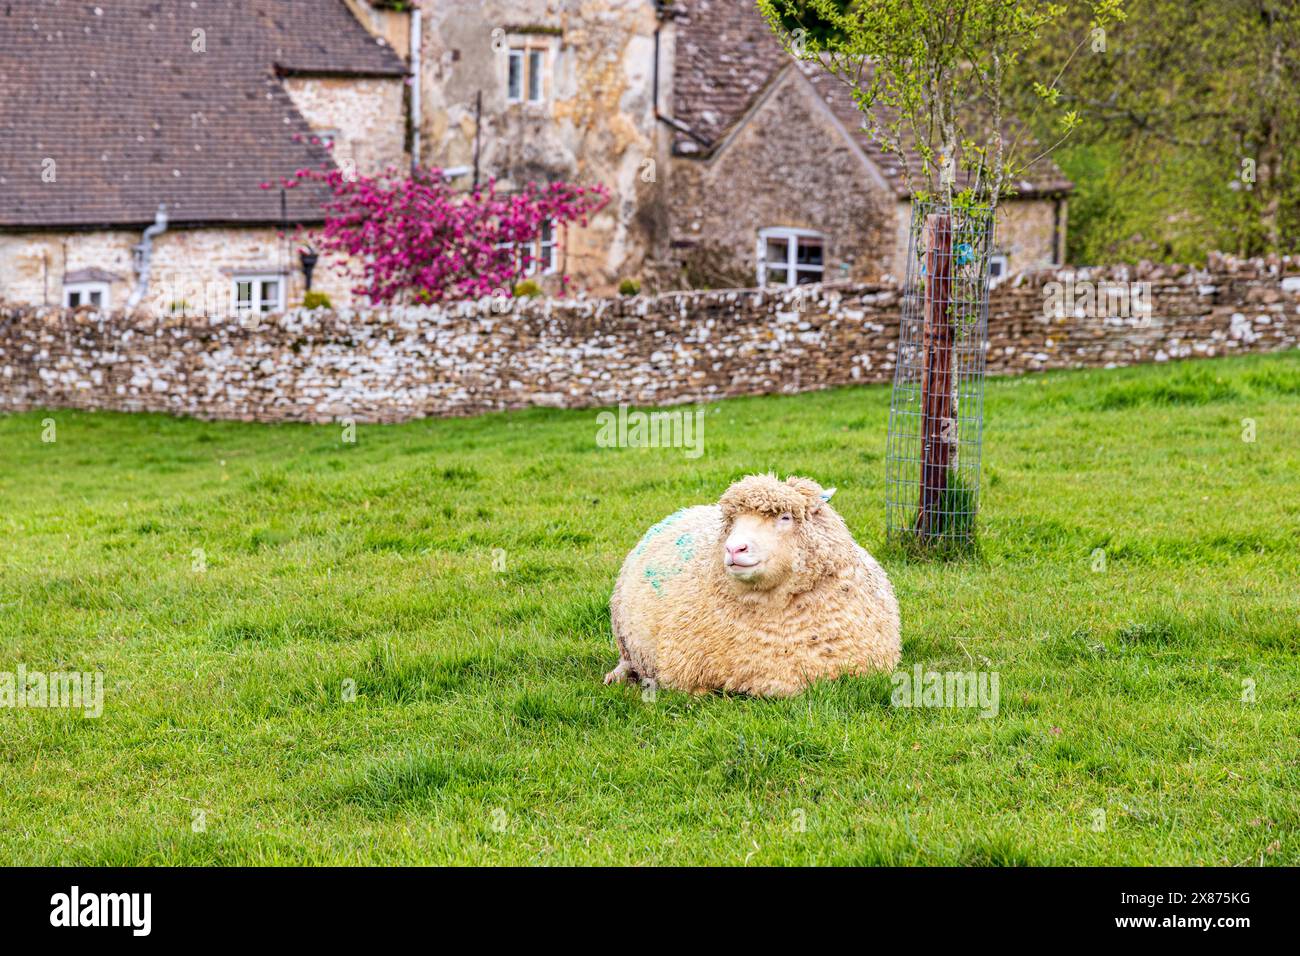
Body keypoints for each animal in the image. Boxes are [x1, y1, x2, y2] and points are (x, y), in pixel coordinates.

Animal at [606, 474, 901, 697]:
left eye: (785, 517)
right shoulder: (685, 675)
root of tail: (685, 510)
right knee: (627, 661)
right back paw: (616, 677)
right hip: (622, 632)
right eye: (733, 522)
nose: (734, 549)